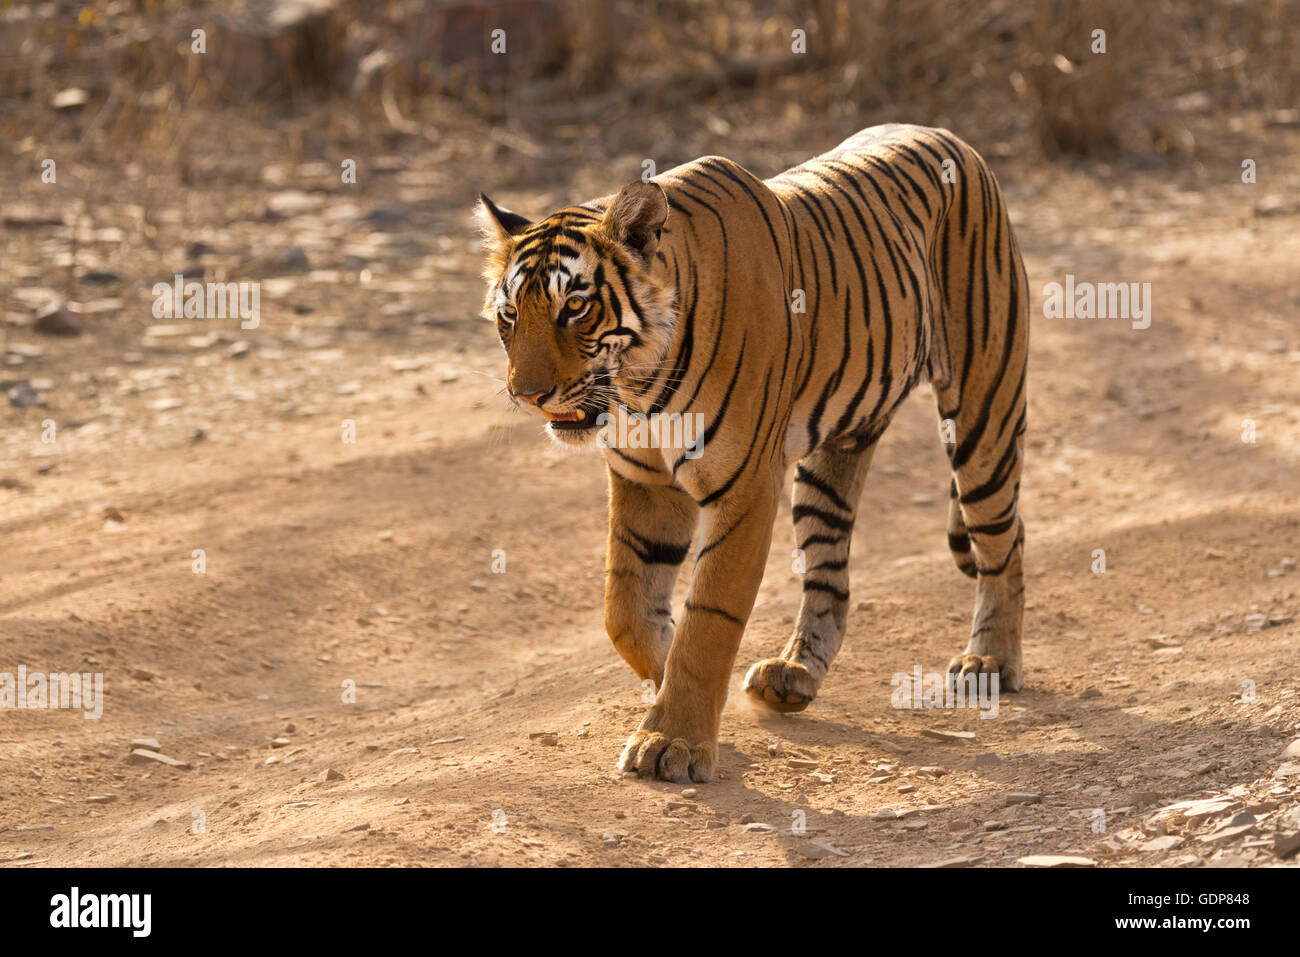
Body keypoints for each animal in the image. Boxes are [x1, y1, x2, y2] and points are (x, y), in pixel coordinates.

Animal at [477, 124, 1028, 783]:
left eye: (575, 307)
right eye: (510, 315)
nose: (526, 395)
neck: (638, 386)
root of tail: (948, 136)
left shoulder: (744, 488)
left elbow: (708, 621)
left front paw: (674, 741)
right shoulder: (647, 484)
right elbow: (626, 613)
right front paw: (666, 687)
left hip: (983, 415)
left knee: (1003, 543)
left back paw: (990, 661)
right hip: (830, 464)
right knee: (830, 577)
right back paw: (794, 675)